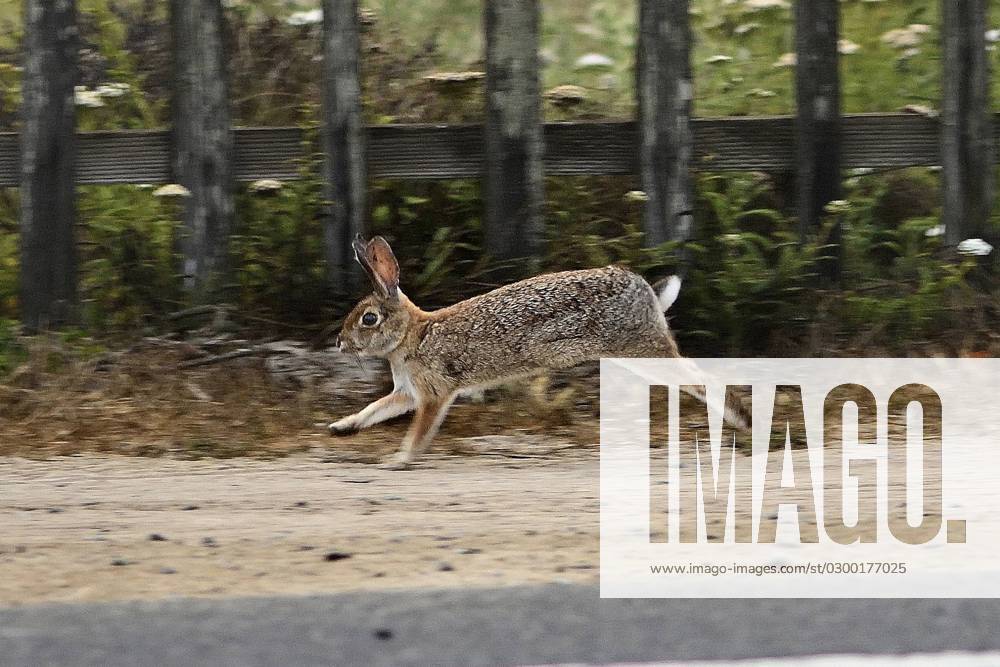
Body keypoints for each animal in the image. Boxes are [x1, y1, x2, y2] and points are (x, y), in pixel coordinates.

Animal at [330, 235, 749, 468]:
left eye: (368, 319)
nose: (339, 343)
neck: (412, 335)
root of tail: (646, 292)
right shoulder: (407, 392)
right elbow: (375, 409)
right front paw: (341, 427)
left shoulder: (434, 392)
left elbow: (419, 430)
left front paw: (399, 460)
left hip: (641, 348)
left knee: (705, 381)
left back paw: (744, 423)